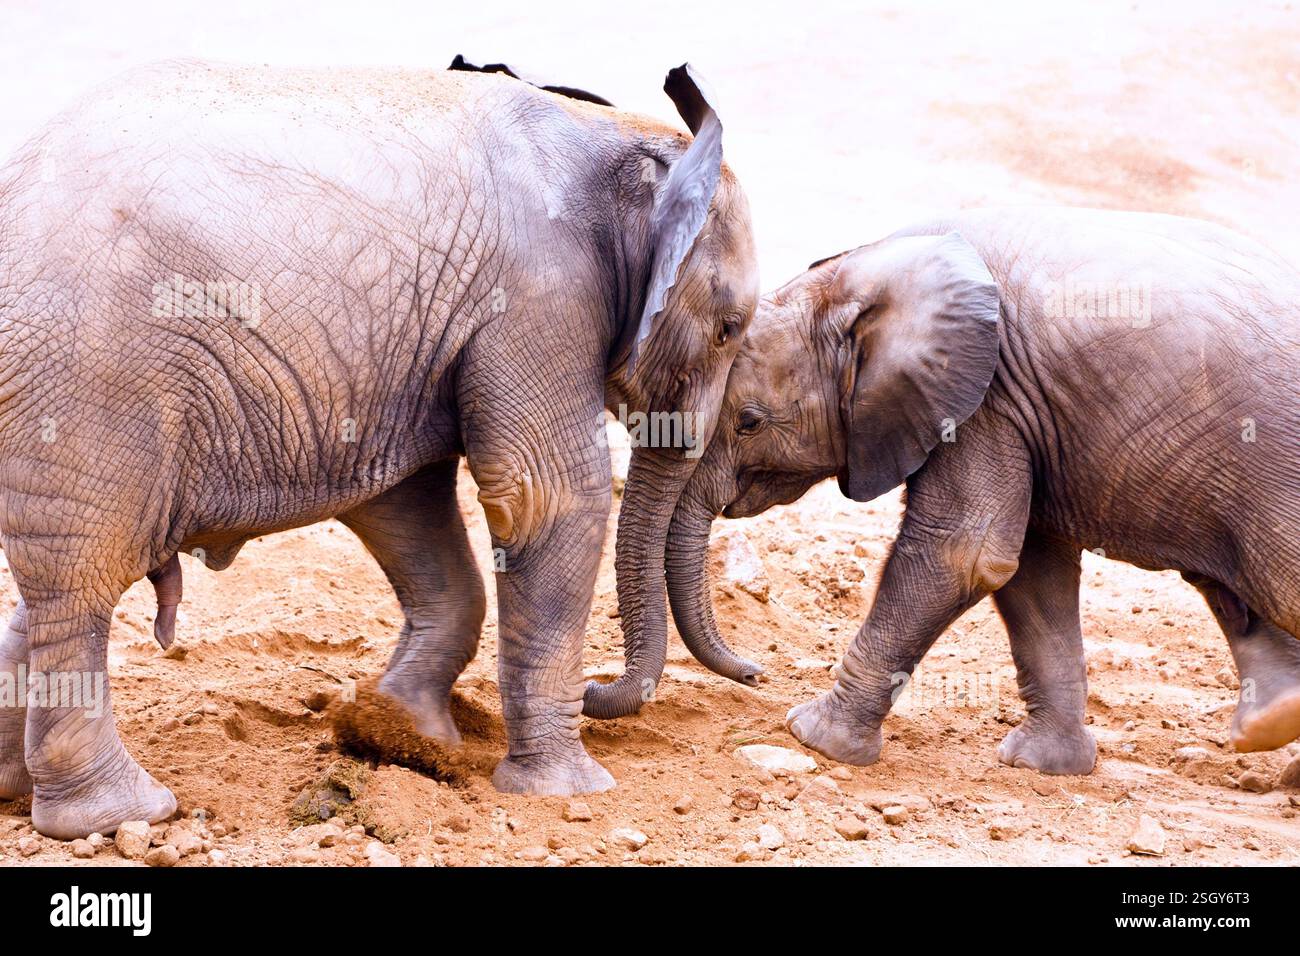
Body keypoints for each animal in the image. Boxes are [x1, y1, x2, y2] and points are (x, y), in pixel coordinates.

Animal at [0, 57, 758, 838]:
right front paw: (569, 791)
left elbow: (404, 504)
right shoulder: (543, 296)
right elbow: (544, 497)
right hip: (90, 381)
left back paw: (16, 789)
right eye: (729, 329)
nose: (756, 674)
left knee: (49, 580)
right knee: (81, 582)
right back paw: (121, 815)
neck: (621, 133)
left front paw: (396, 731)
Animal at [617, 206, 1300, 775]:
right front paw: (1042, 766)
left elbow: (963, 554)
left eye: (749, 422)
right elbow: (1028, 571)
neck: (868, 272)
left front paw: (813, 737)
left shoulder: (990, 393)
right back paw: (1271, 727)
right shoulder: (1026, 408)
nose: (757, 673)